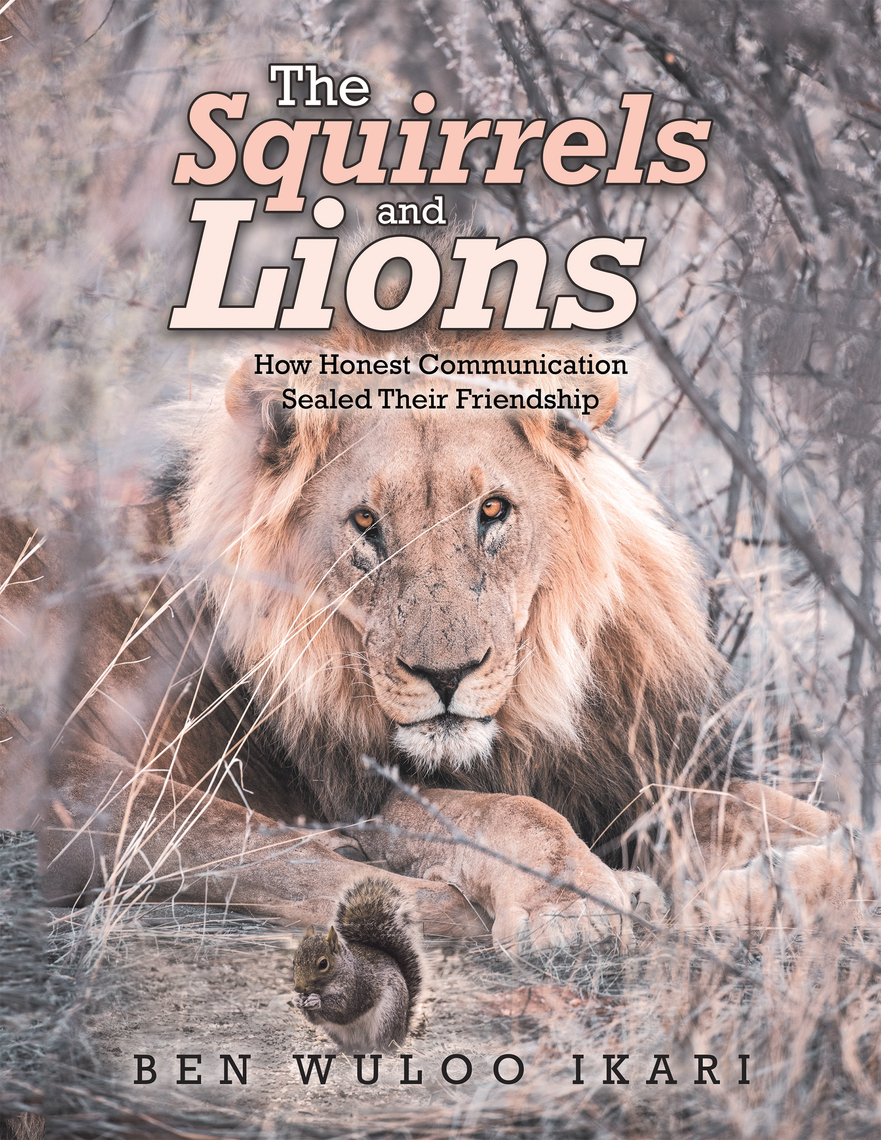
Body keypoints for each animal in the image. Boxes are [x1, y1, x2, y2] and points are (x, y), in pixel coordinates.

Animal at [0, 307, 856, 948]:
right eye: (365, 525)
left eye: (493, 511)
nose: (446, 678)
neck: (532, 709)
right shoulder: (361, 790)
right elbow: (508, 815)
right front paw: (575, 904)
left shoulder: (622, 781)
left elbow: (797, 818)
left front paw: (797, 874)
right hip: (86, 782)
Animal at [290, 877, 425, 1053]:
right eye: (294, 961)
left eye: (323, 963)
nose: (298, 988)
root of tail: (401, 1033)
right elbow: (316, 1019)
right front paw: (297, 999)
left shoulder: (359, 987)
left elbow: (344, 1009)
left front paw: (316, 1001)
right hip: (335, 1031)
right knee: (349, 1045)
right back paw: (339, 1050)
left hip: (387, 1017)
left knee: (384, 1042)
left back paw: (379, 1050)